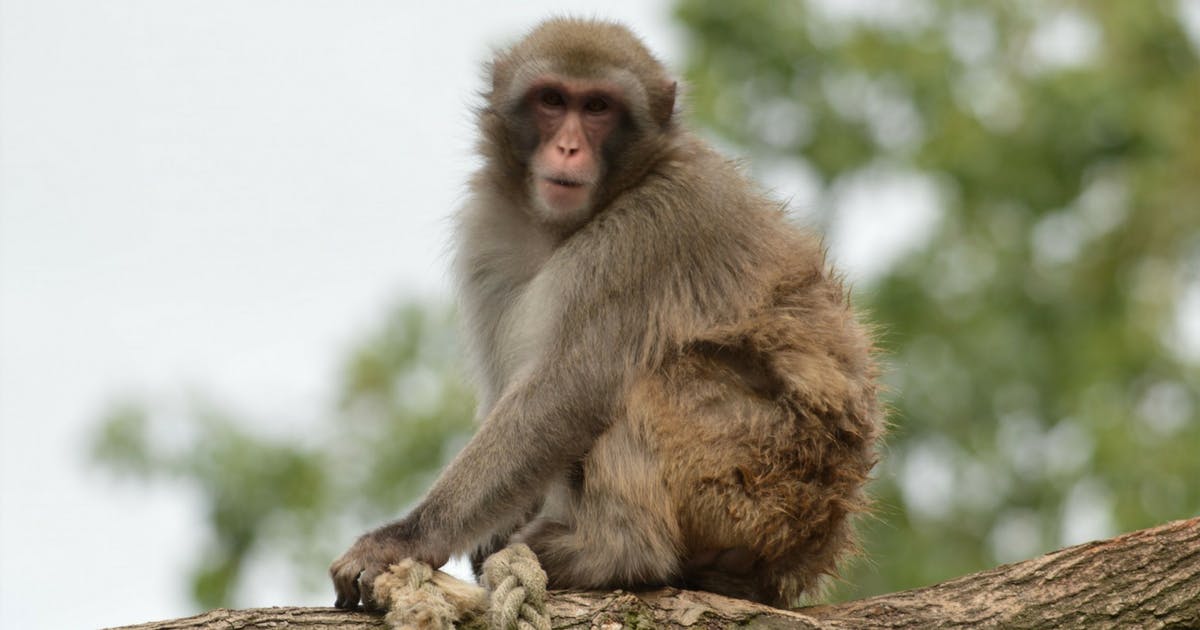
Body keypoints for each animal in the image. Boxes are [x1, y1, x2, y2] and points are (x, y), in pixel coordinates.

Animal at [331, 17, 882, 611]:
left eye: (598, 107)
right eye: (552, 100)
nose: (569, 146)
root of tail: (810, 549)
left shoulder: (648, 232)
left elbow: (566, 391)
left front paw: (407, 537)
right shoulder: (488, 228)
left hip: (759, 479)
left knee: (648, 382)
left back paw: (618, 553)